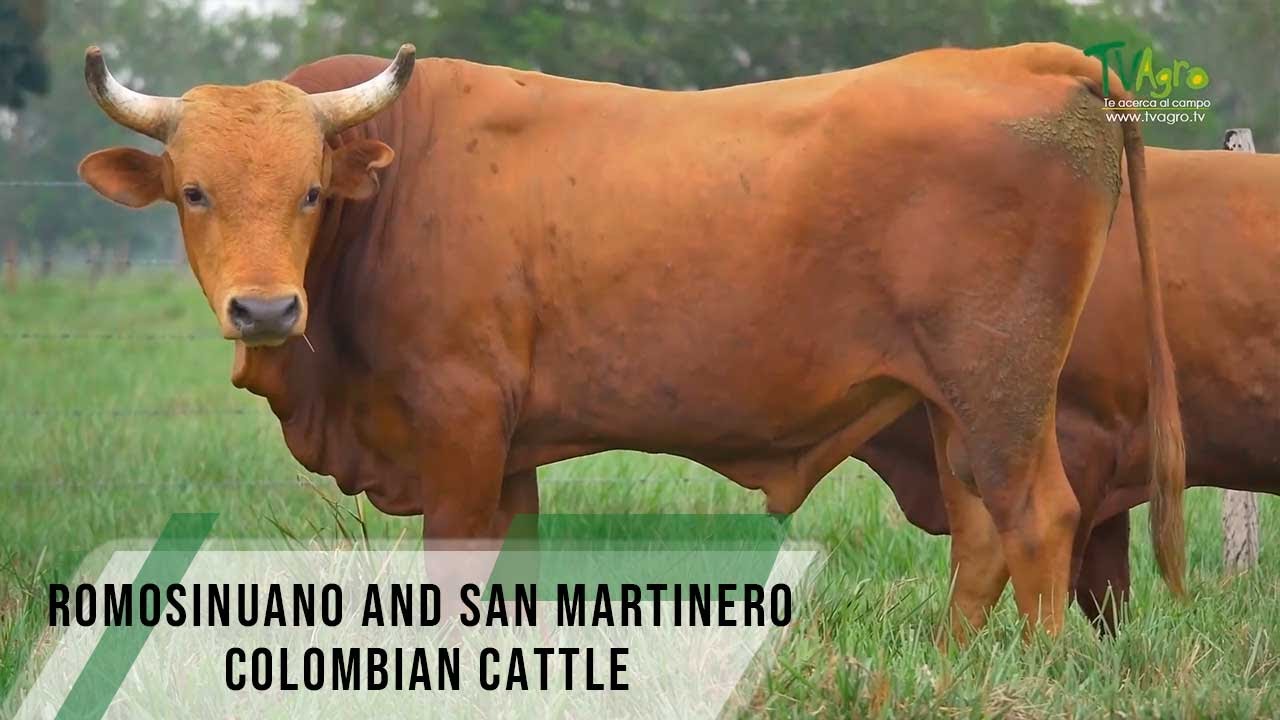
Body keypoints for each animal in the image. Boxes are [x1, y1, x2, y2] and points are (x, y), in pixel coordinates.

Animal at [77, 41, 1184, 638]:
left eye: (309, 191)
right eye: (193, 191)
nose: (266, 311)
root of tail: (1029, 60)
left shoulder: (458, 434)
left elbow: (453, 579)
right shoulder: (507, 453)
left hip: (1001, 390)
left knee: (1037, 520)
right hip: (957, 403)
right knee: (982, 535)